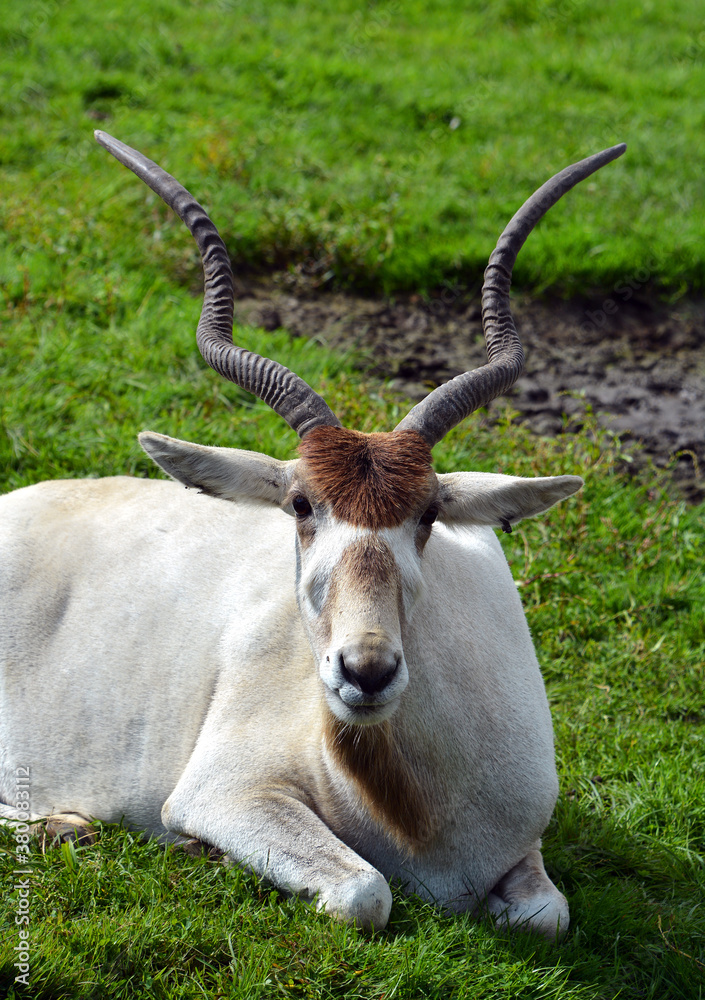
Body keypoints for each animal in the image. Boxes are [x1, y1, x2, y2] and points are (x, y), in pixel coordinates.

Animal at [0, 132, 625, 938]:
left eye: (428, 515)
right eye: (300, 505)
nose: (365, 671)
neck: (412, 811)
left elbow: (546, 916)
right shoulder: (224, 792)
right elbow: (365, 894)